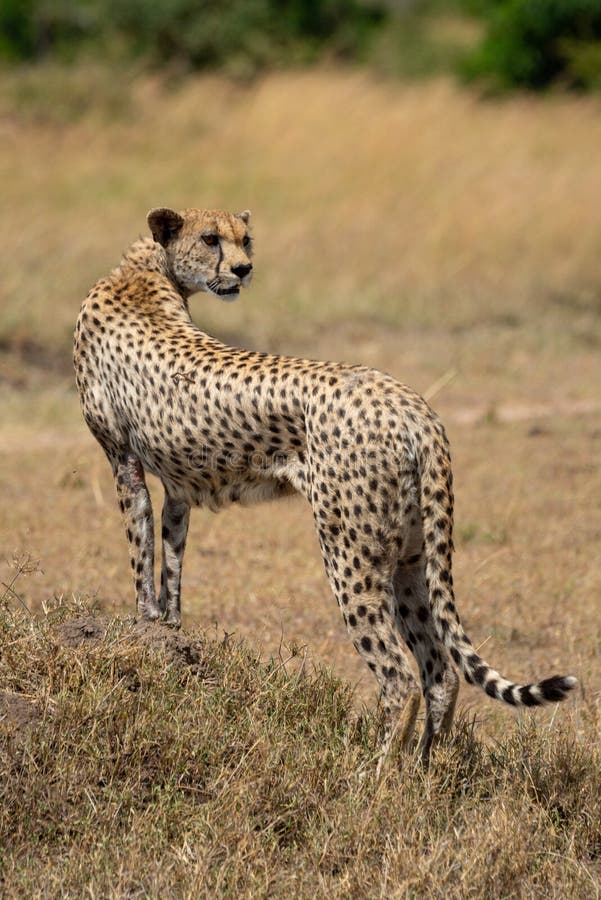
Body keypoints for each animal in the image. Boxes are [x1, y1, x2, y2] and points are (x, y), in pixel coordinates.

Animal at [73, 206, 577, 767]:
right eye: (210, 239)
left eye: (245, 238)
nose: (245, 268)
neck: (146, 271)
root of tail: (411, 404)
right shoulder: (178, 486)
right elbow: (171, 559)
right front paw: (167, 632)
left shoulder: (124, 462)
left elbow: (140, 551)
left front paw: (142, 627)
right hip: (410, 559)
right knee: (440, 670)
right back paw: (422, 771)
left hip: (349, 553)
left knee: (400, 677)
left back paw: (374, 776)